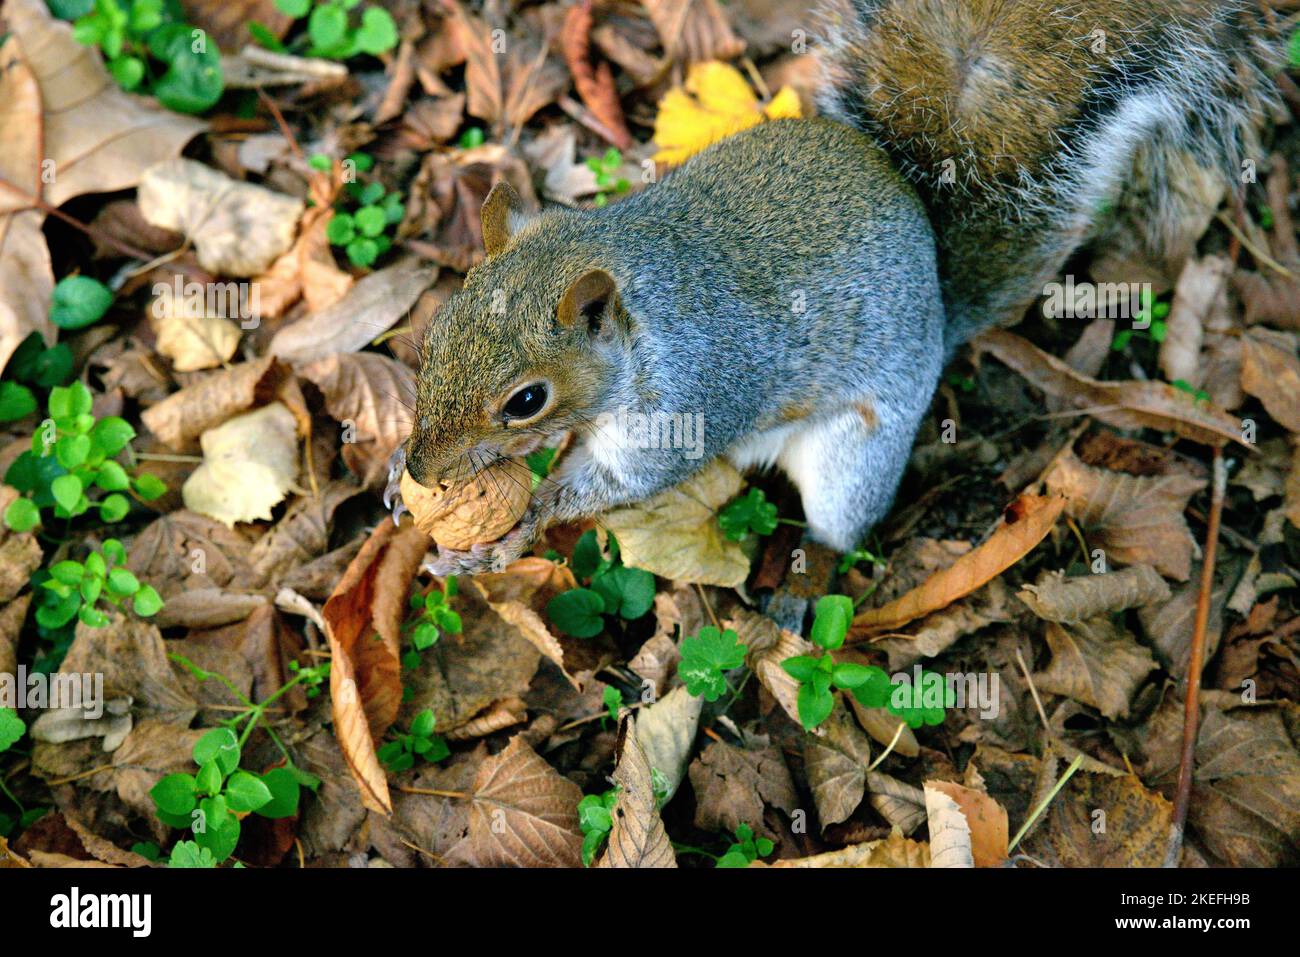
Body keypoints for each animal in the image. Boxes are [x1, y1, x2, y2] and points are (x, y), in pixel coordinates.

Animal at [384, 0, 1279, 574]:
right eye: (438, 332)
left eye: (526, 400)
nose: (427, 466)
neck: (642, 311)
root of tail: (937, 297)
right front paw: (396, 473)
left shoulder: (691, 397)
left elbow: (617, 484)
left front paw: (516, 528)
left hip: (858, 453)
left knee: (841, 527)